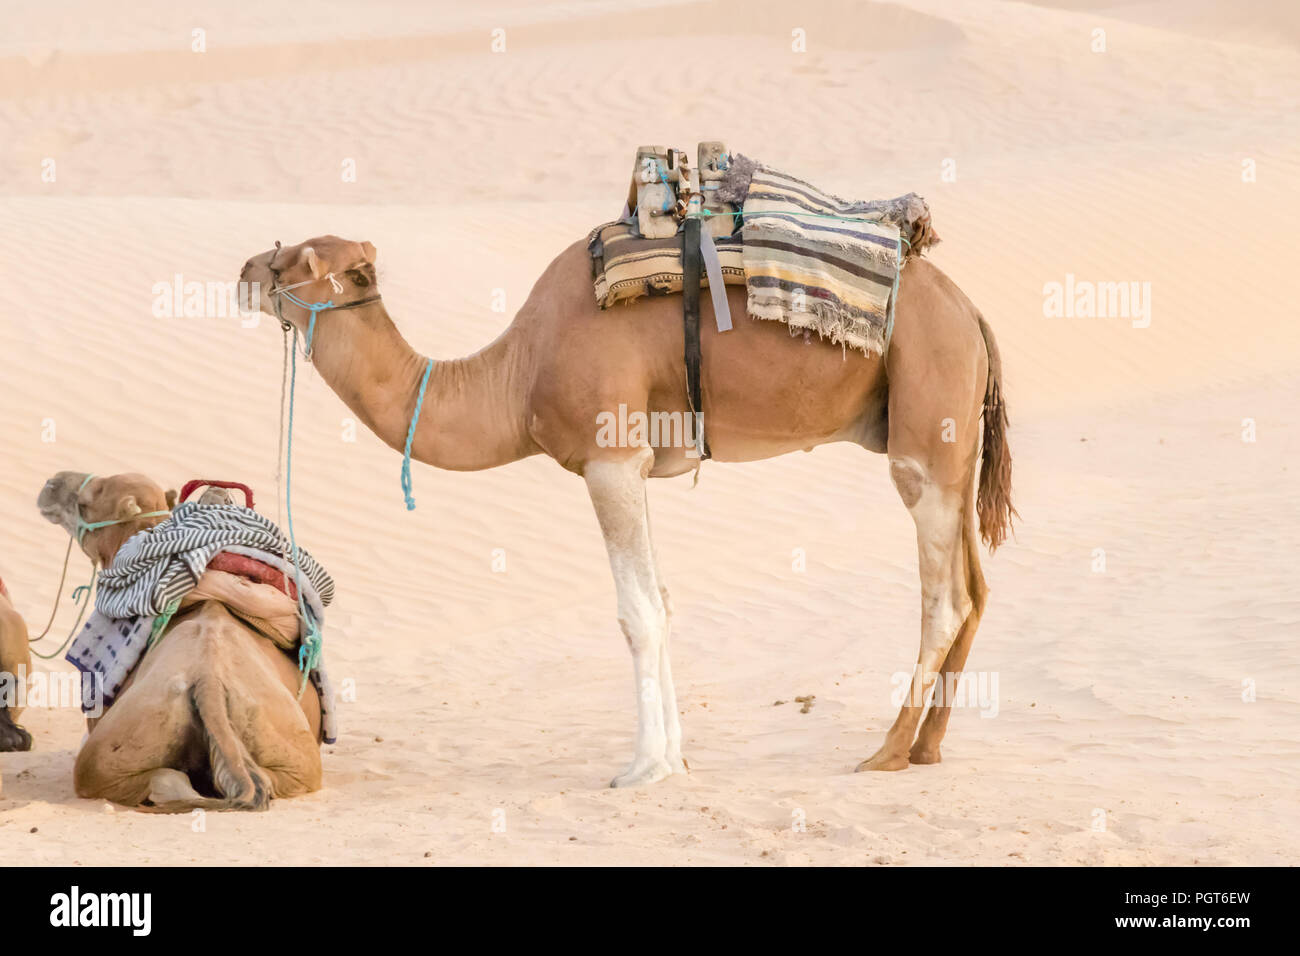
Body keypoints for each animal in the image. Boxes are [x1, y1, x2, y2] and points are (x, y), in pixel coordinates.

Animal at [239, 229, 1014, 787]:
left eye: (293, 260)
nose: (245, 269)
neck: (516, 374)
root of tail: (972, 312)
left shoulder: (608, 456)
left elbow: (636, 614)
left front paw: (643, 768)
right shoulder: (635, 466)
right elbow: (662, 602)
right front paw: (676, 759)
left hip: (924, 429)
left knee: (945, 598)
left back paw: (885, 751)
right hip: (952, 447)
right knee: (977, 588)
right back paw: (927, 748)